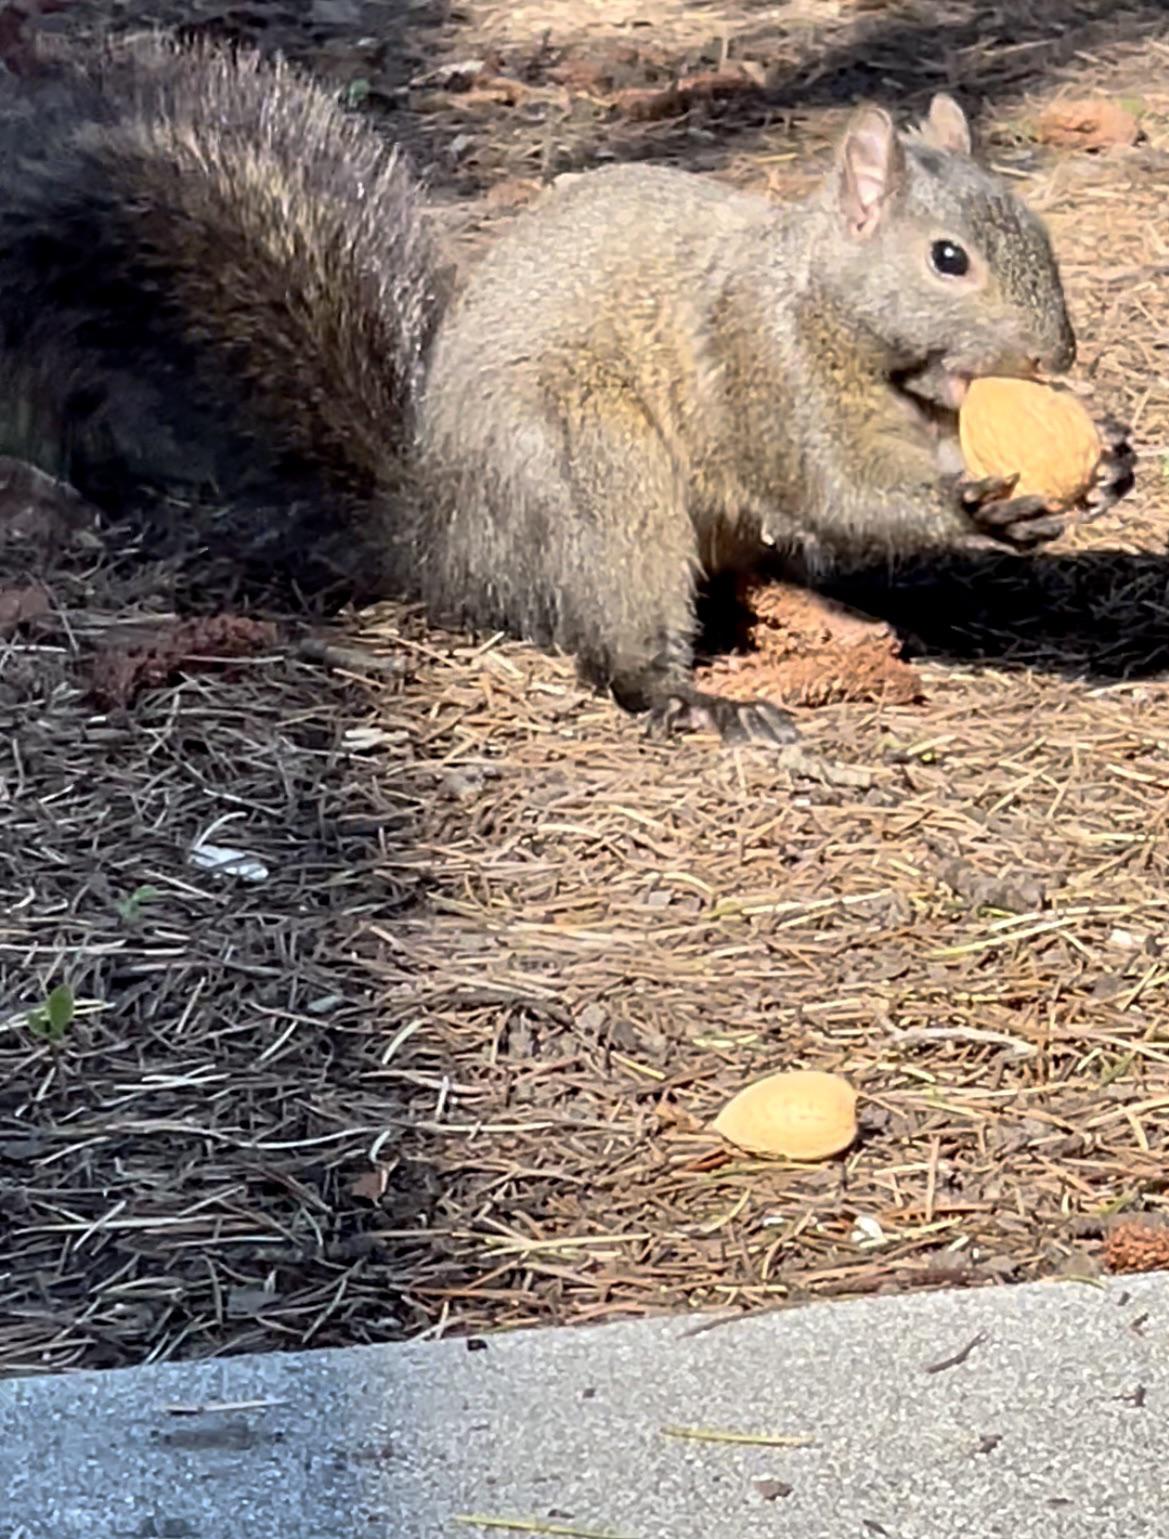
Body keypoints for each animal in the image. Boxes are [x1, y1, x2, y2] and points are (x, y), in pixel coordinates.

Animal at [0, 32, 1135, 746]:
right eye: (948, 260)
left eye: (1035, 230)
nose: (1057, 354)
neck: (820, 298)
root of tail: (439, 539)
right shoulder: (758, 366)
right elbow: (836, 486)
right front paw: (981, 508)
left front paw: (1113, 458)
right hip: (594, 468)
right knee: (624, 639)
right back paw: (698, 701)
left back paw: (826, 617)